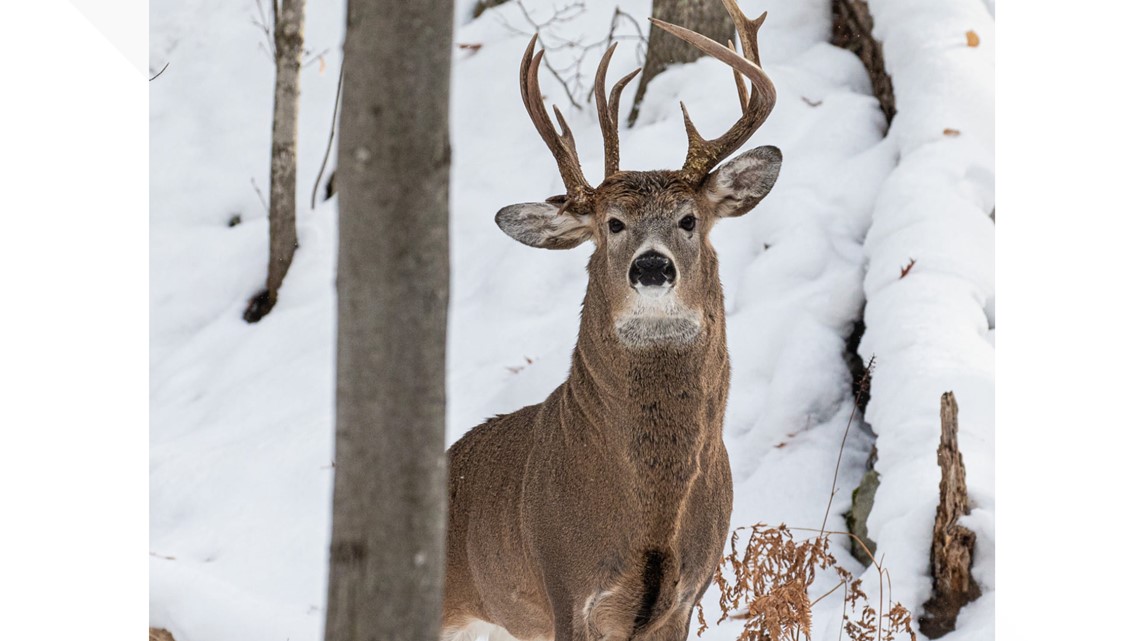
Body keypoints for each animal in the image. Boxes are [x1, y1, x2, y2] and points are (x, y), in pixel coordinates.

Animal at [444, 2, 780, 640]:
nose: (651, 266)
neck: (649, 514)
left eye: (689, 219)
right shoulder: (565, 587)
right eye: (612, 224)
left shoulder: (685, 598)